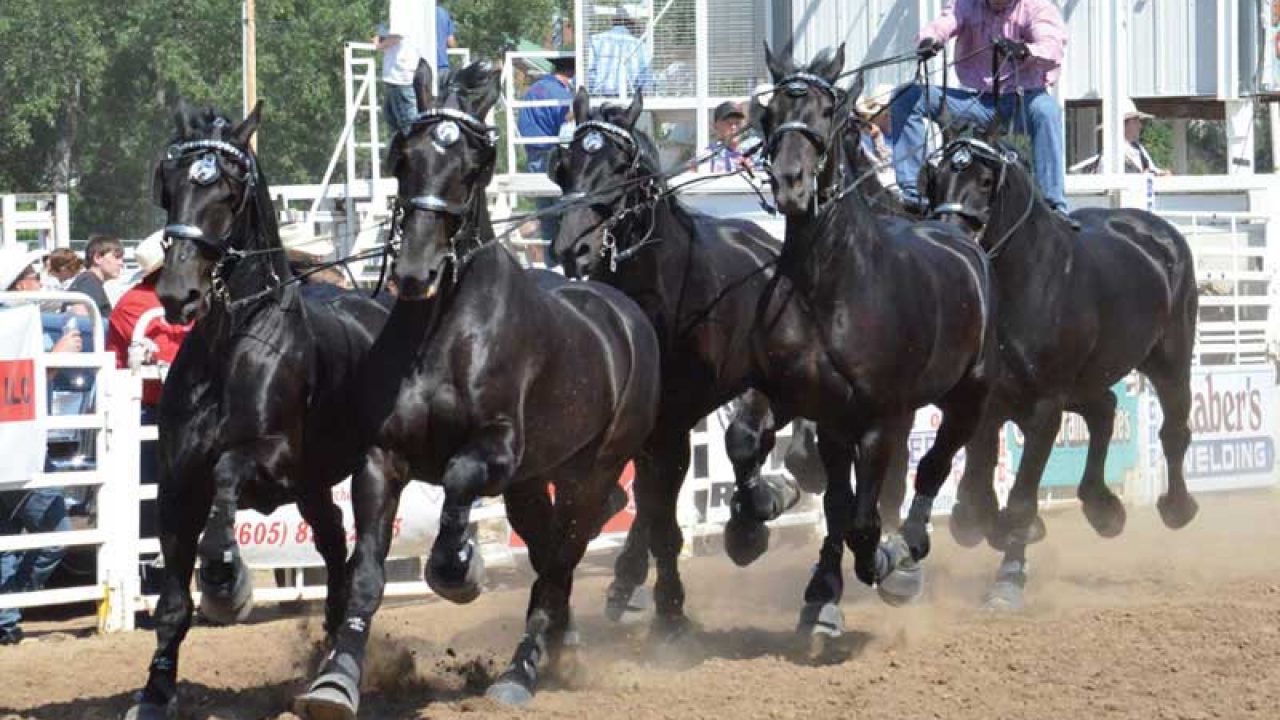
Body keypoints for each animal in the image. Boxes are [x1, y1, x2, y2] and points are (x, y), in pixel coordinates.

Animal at [127, 103, 390, 720]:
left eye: (227, 191)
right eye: (169, 186)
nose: (177, 293)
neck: (232, 341)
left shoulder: (271, 460)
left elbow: (226, 476)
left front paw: (226, 579)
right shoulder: (175, 486)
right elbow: (171, 603)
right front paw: (156, 691)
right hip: (315, 485)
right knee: (333, 540)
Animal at [293, 60, 660, 717]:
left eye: (472, 165)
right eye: (403, 158)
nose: (416, 271)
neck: (446, 329)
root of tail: (623, 313)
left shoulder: (497, 450)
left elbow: (459, 486)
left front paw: (462, 567)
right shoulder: (382, 459)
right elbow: (365, 575)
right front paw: (335, 678)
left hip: (591, 470)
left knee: (560, 560)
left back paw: (521, 669)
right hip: (537, 482)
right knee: (548, 552)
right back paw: (560, 645)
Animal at [548, 88, 833, 636]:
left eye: (621, 168)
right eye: (564, 166)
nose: (573, 246)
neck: (660, 290)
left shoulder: (676, 420)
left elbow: (667, 508)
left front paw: (672, 607)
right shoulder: (652, 424)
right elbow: (654, 510)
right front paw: (657, 595)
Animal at [756, 43, 998, 636]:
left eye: (827, 112)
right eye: (768, 115)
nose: (790, 182)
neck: (830, 284)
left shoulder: (875, 420)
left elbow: (865, 520)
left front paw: (888, 563)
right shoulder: (817, 410)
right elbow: (834, 503)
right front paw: (821, 591)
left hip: (967, 398)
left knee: (932, 467)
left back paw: (908, 549)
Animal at [923, 129, 1199, 609]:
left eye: (985, 181)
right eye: (936, 177)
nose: (951, 238)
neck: (1025, 282)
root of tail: (1158, 231)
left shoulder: (1044, 408)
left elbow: (1020, 498)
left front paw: (1009, 576)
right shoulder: (986, 406)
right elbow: (977, 492)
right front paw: (986, 525)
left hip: (1170, 361)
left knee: (1173, 432)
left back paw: (1175, 507)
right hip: (1087, 380)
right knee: (1105, 410)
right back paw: (1102, 507)